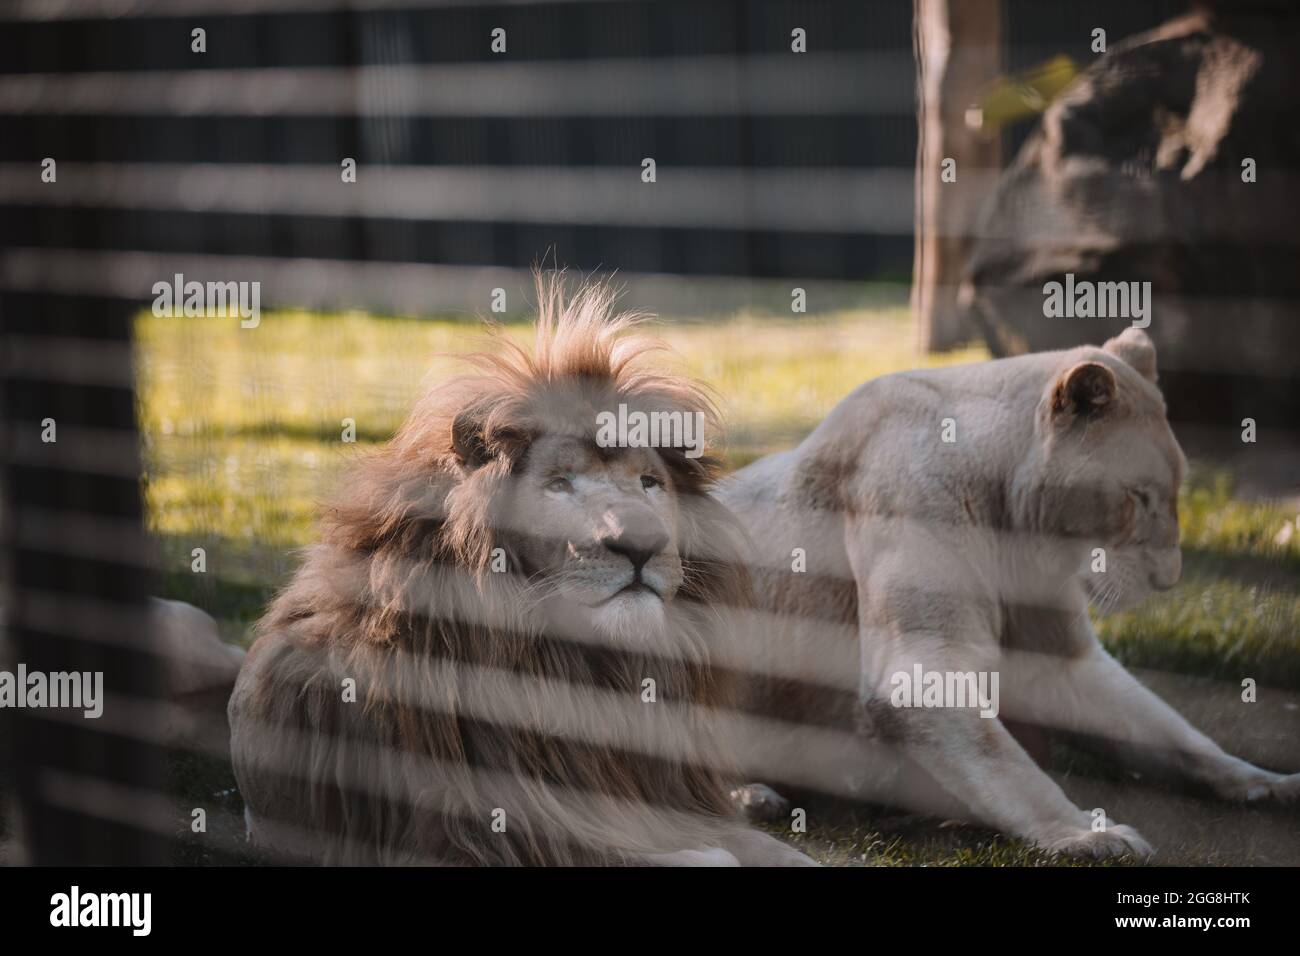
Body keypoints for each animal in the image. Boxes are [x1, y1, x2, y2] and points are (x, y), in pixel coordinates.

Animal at [227, 277, 814, 866]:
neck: (586, 665)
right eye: (559, 484)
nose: (641, 543)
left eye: (649, 482)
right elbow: (686, 854)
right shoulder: (487, 832)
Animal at [720, 328, 1300, 858]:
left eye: (1178, 490)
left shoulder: (1059, 654)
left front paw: (1269, 782)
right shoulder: (919, 637)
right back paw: (751, 797)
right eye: (1137, 497)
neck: (1010, 522)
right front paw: (1092, 836)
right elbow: (1004, 760)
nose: (1169, 579)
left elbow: (1164, 730)